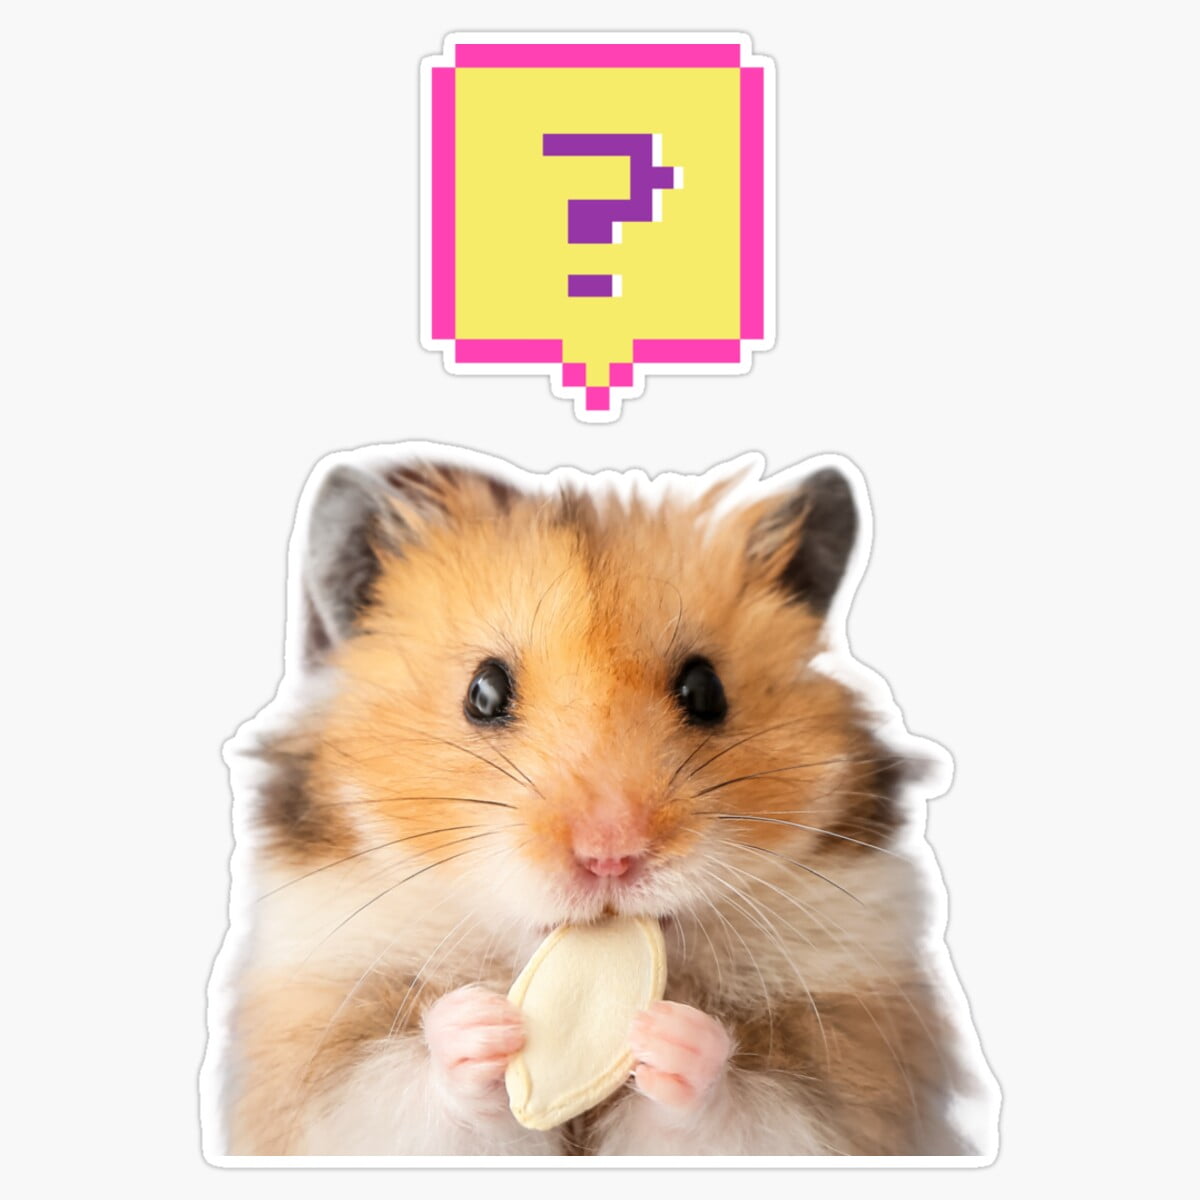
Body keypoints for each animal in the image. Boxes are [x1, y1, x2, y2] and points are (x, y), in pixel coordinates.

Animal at [214, 453, 988, 1156]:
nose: (610, 856)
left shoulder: (847, 1080)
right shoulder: (322, 1064)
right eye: (483, 692)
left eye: (705, 690)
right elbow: (405, 1095)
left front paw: (672, 1037)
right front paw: (479, 1028)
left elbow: (732, 1115)